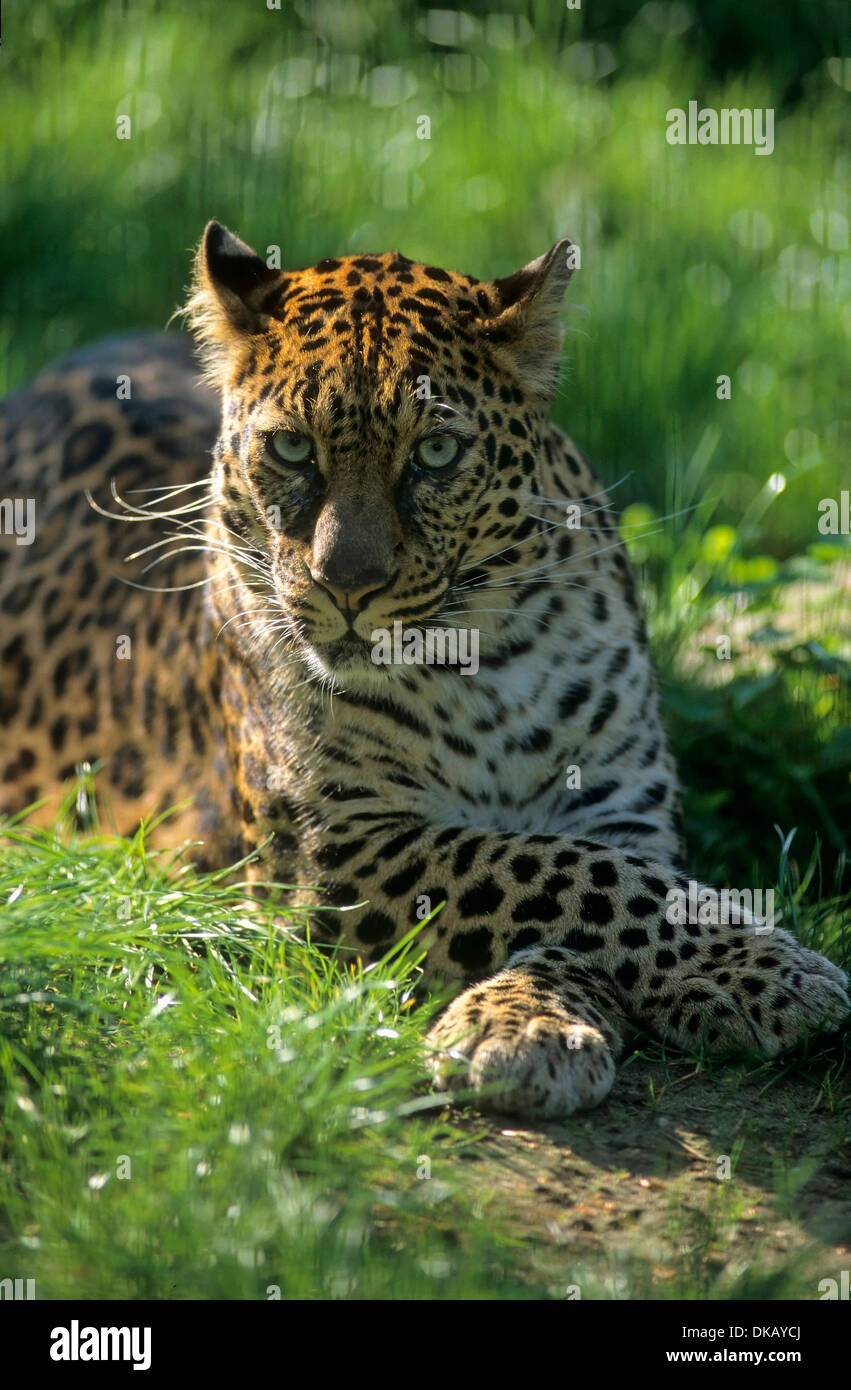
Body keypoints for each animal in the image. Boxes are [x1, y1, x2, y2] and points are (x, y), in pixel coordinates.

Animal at [1, 221, 847, 1119]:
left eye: (436, 452)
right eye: (291, 447)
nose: (346, 585)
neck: (482, 671)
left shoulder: (620, 812)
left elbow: (614, 886)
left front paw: (528, 1020)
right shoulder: (332, 847)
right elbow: (554, 873)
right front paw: (772, 972)